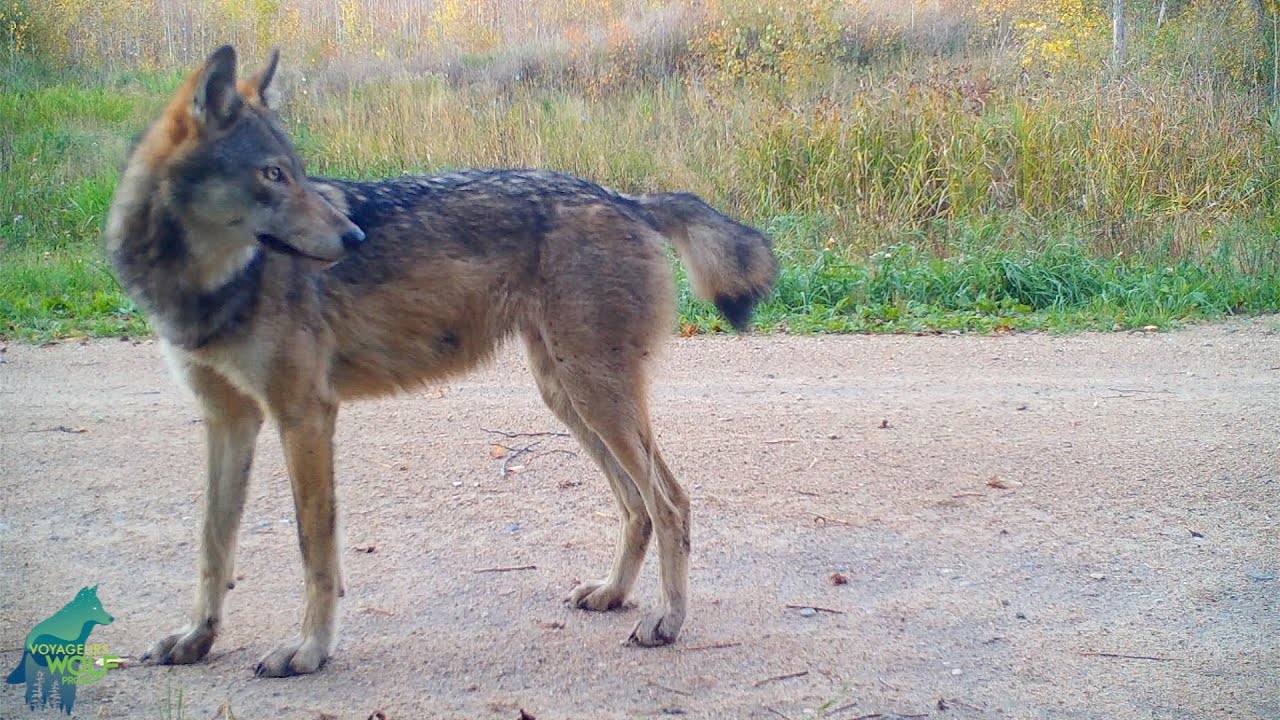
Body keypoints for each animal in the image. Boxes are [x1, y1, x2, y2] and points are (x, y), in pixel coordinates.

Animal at [105, 45, 778, 677]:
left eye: (294, 173)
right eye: (272, 174)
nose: (355, 238)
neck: (204, 287)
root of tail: (627, 198)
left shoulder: (305, 414)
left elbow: (313, 547)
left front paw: (308, 650)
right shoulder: (229, 420)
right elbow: (212, 542)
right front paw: (196, 638)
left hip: (594, 397)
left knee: (671, 502)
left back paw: (667, 621)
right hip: (567, 398)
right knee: (636, 506)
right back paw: (613, 594)